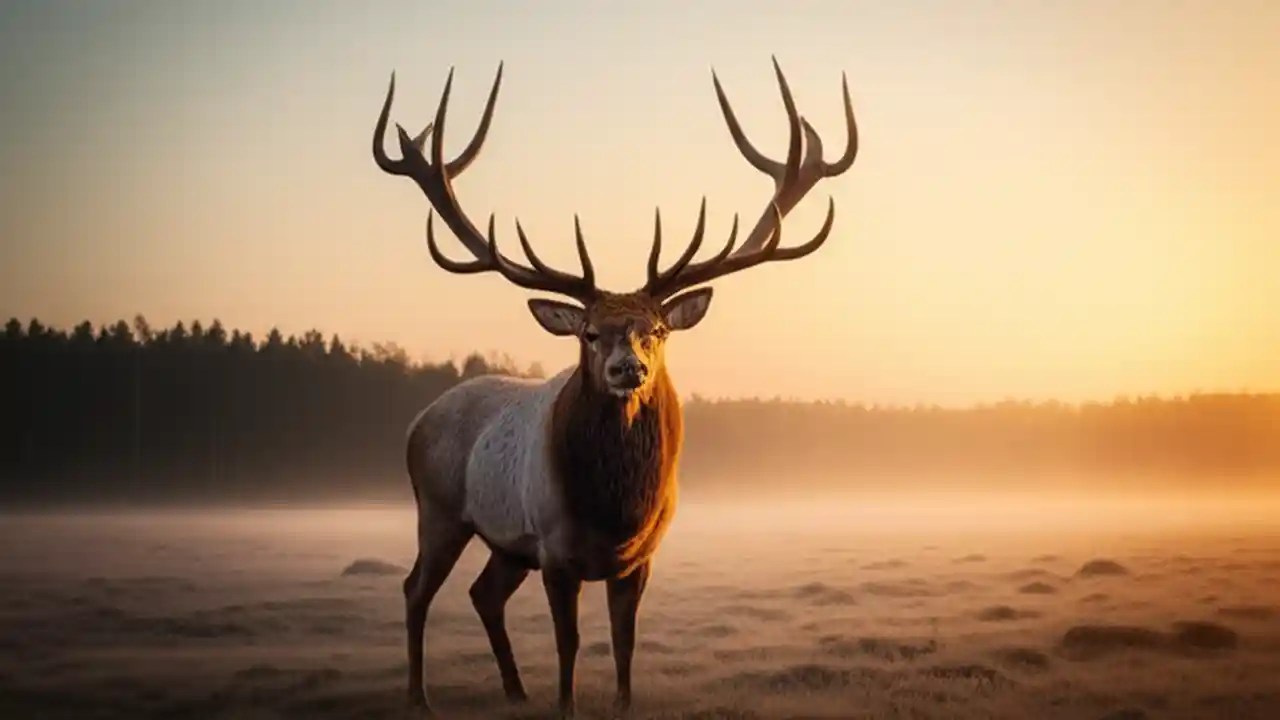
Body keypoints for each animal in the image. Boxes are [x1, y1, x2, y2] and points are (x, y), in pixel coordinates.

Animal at [372, 57, 858, 717]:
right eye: (589, 332)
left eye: (657, 330)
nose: (629, 369)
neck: (615, 514)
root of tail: (416, 423)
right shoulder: (554, 548)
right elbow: (570, 645)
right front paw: (565, 706)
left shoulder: (641, 555)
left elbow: (625, 641)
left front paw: (622, 703)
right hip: (441, 508)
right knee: (415, 588)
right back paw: (419, 697)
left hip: (505, 543)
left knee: (482, 593)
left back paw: (514, 692)